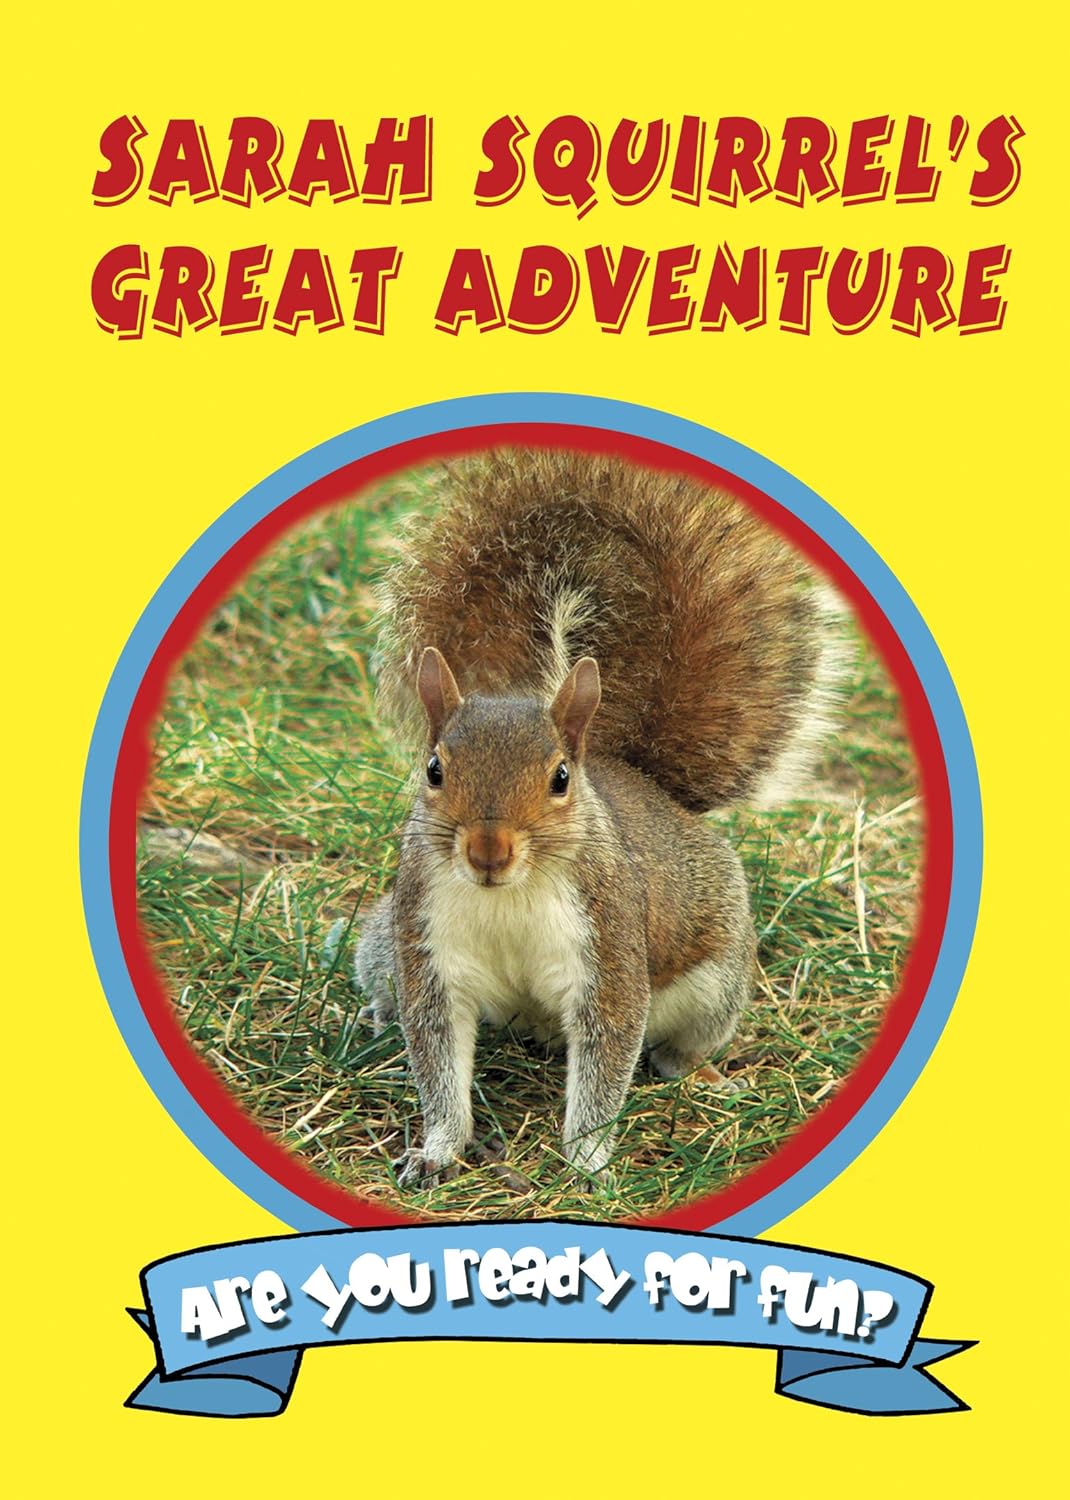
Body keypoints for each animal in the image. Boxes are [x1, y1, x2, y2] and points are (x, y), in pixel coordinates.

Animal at [353, 448, 839, 1187]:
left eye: (559, 779)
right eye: (434, 770)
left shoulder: (608, 950)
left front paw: (586, 1162)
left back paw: (700, 1075)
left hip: (717, 978)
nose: (488, 851)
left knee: (678, 1046)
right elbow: (437, 1061)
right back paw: (377, 1014)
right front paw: (437, 1149)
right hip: (386, 940)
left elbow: (607, 1060)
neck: (509, 896)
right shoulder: (430, 952)